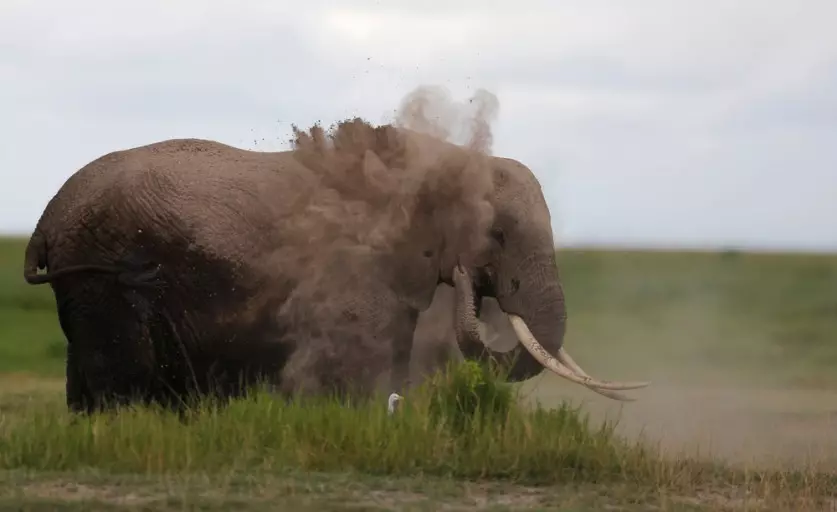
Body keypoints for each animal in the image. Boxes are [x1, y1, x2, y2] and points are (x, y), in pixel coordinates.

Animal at [21, 118, 648, 414]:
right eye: (496, 233)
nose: (475, 278)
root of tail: (46, 219)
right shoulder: (363, 264)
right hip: (99, 272)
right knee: (118, 372)